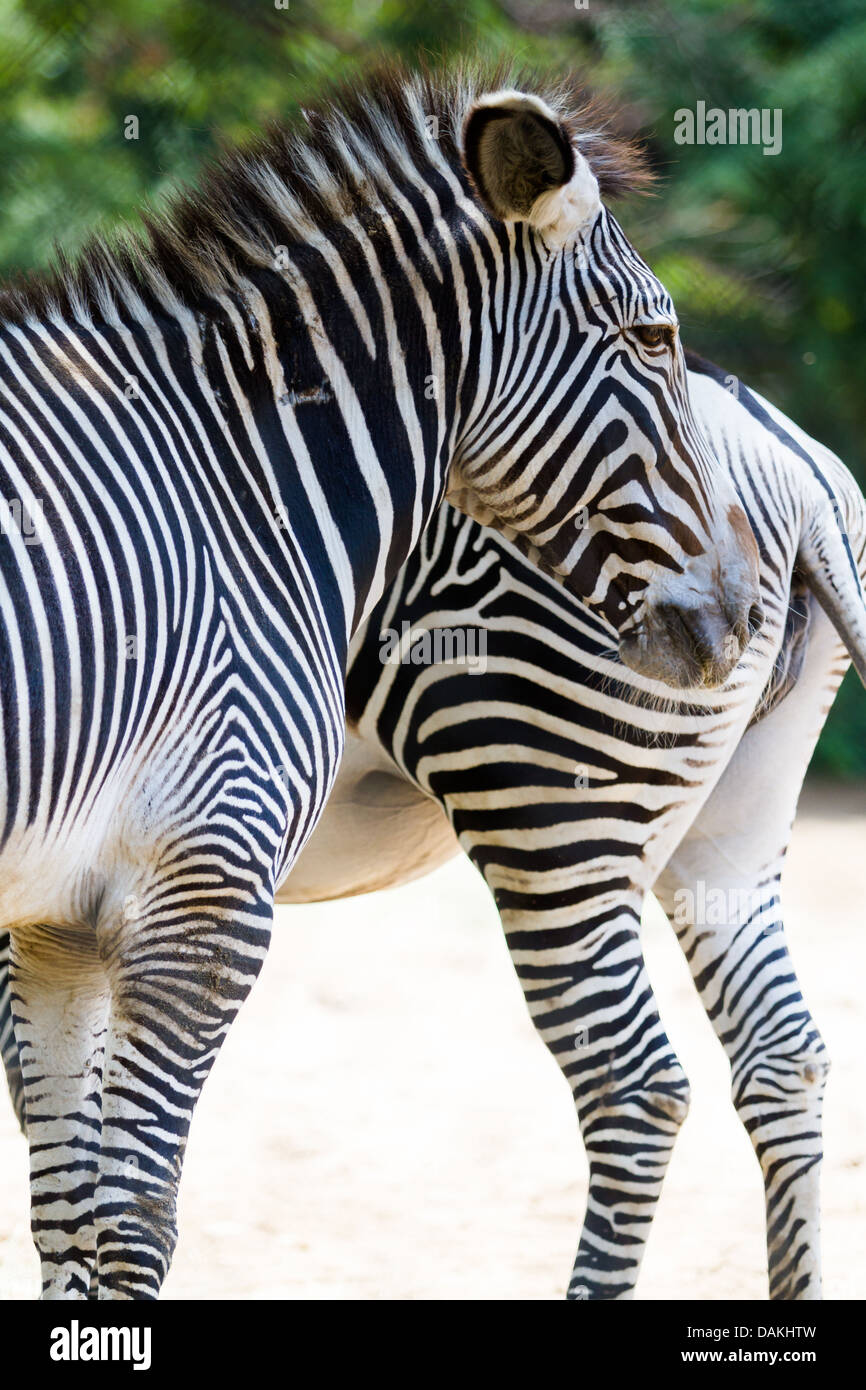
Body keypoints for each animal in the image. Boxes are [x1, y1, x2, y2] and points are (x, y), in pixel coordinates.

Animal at [0, 65, 762, 1299]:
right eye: (652, 337)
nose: (739, 617)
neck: (244, 487)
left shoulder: (72, 916)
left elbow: (78, 1213)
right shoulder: (196, 886)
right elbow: (117, 1220)